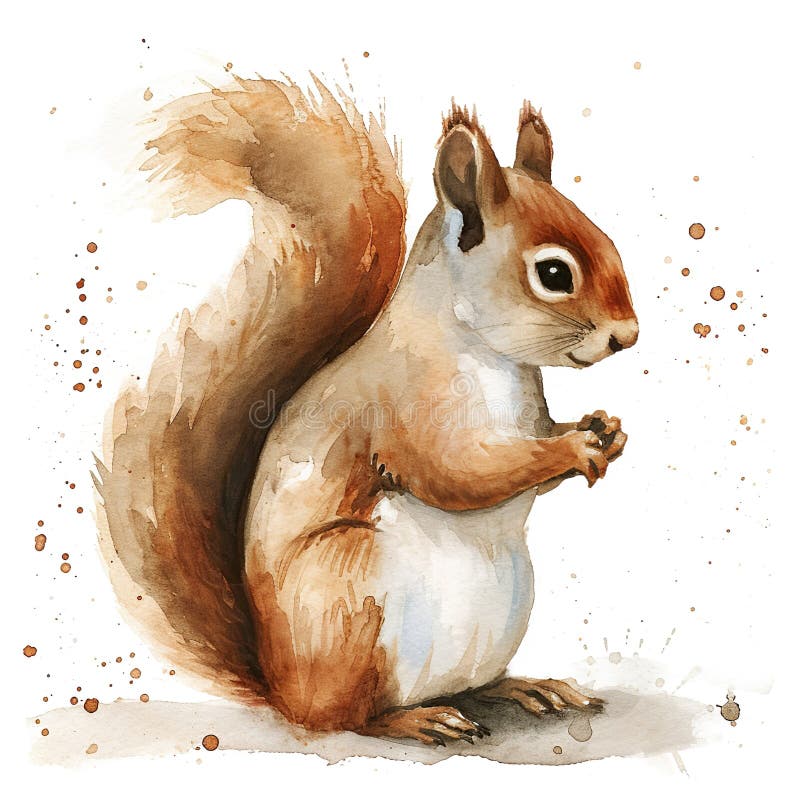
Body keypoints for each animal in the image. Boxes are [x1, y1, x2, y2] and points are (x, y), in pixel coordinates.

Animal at [96, 76, 638, 745]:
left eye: (609, 242)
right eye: (555, 272)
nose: (628, 335)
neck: (483, 351)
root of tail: (280, 687)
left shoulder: (526, 418)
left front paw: (602, 431)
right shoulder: (408, 409)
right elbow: (458, 474)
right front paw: (574, 446)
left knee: (469, 686)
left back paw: (523, 688)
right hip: (351, 599)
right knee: (347, 718)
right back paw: (417, 718)